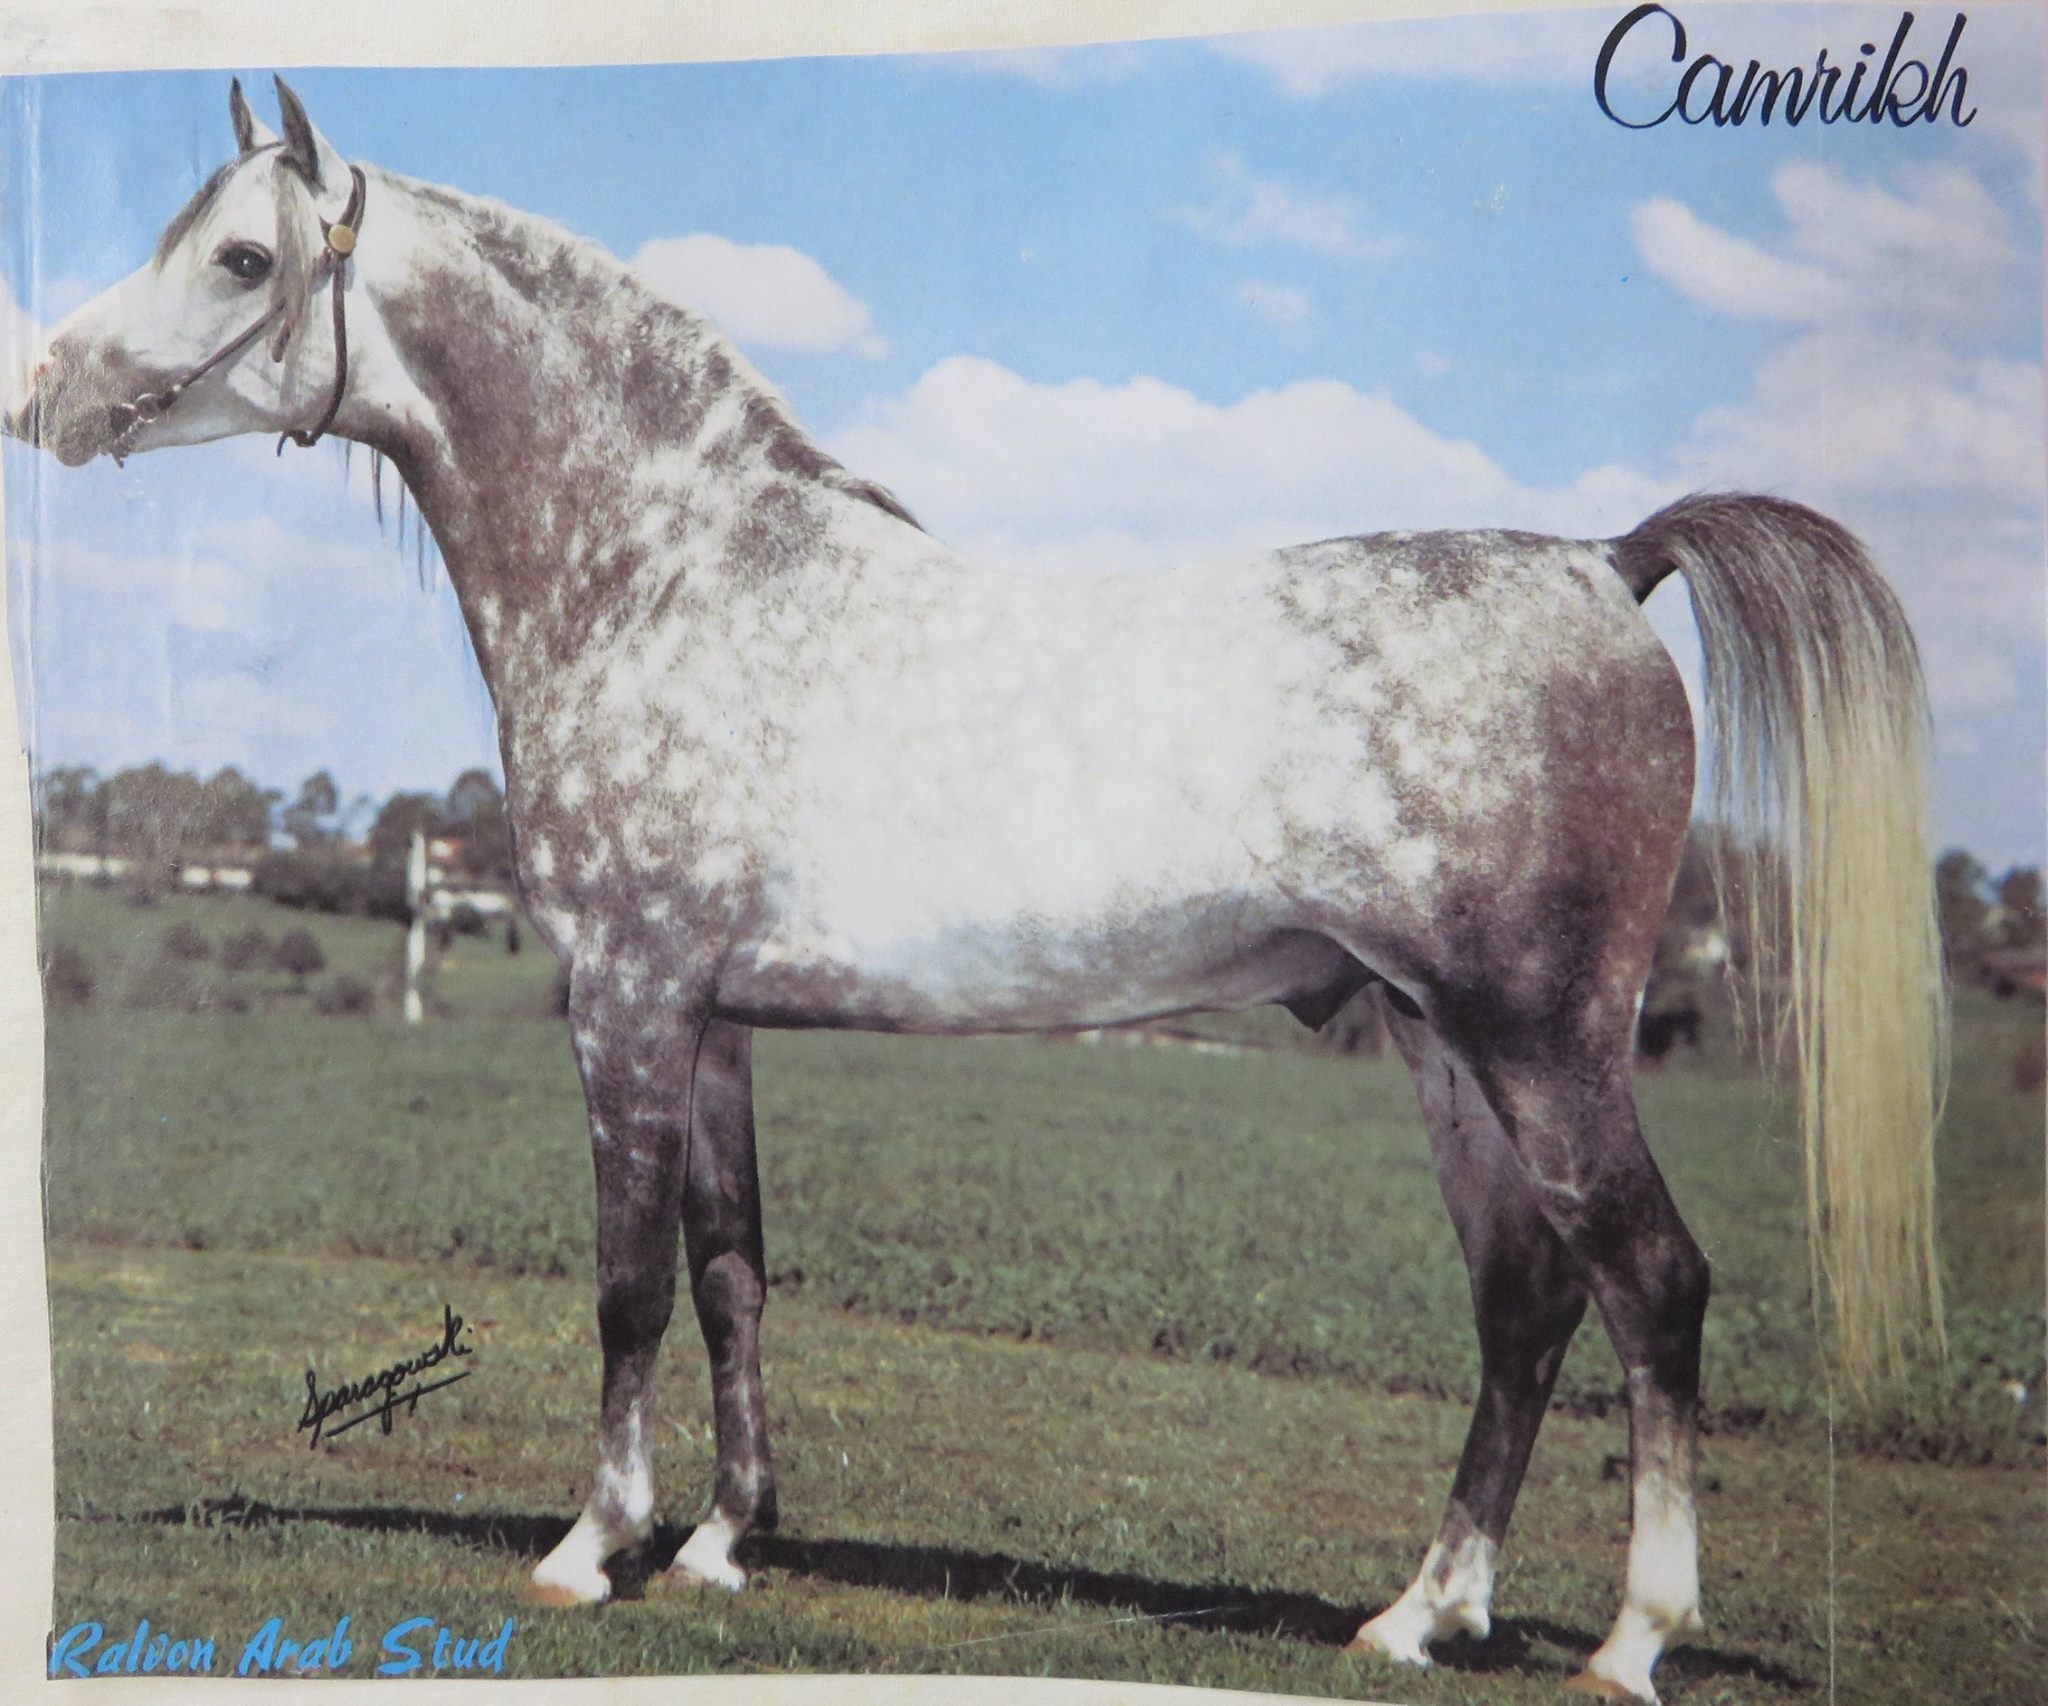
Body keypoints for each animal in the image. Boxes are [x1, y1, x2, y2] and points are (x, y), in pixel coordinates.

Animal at [5, 79, 1948, 1705]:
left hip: (1541, 1038)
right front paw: (722, 1541)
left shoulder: (623, 995)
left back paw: (1626, 1644)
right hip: (1438, 1045)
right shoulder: (713, 1019)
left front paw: (590, 1547)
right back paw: (1417, 1615)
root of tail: (1607, 565)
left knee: (1652, 1290)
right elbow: (733, 1270)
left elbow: (628, 1280)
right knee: (1525, 1306)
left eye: (242, 256)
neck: (669, 585)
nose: (44, 391)